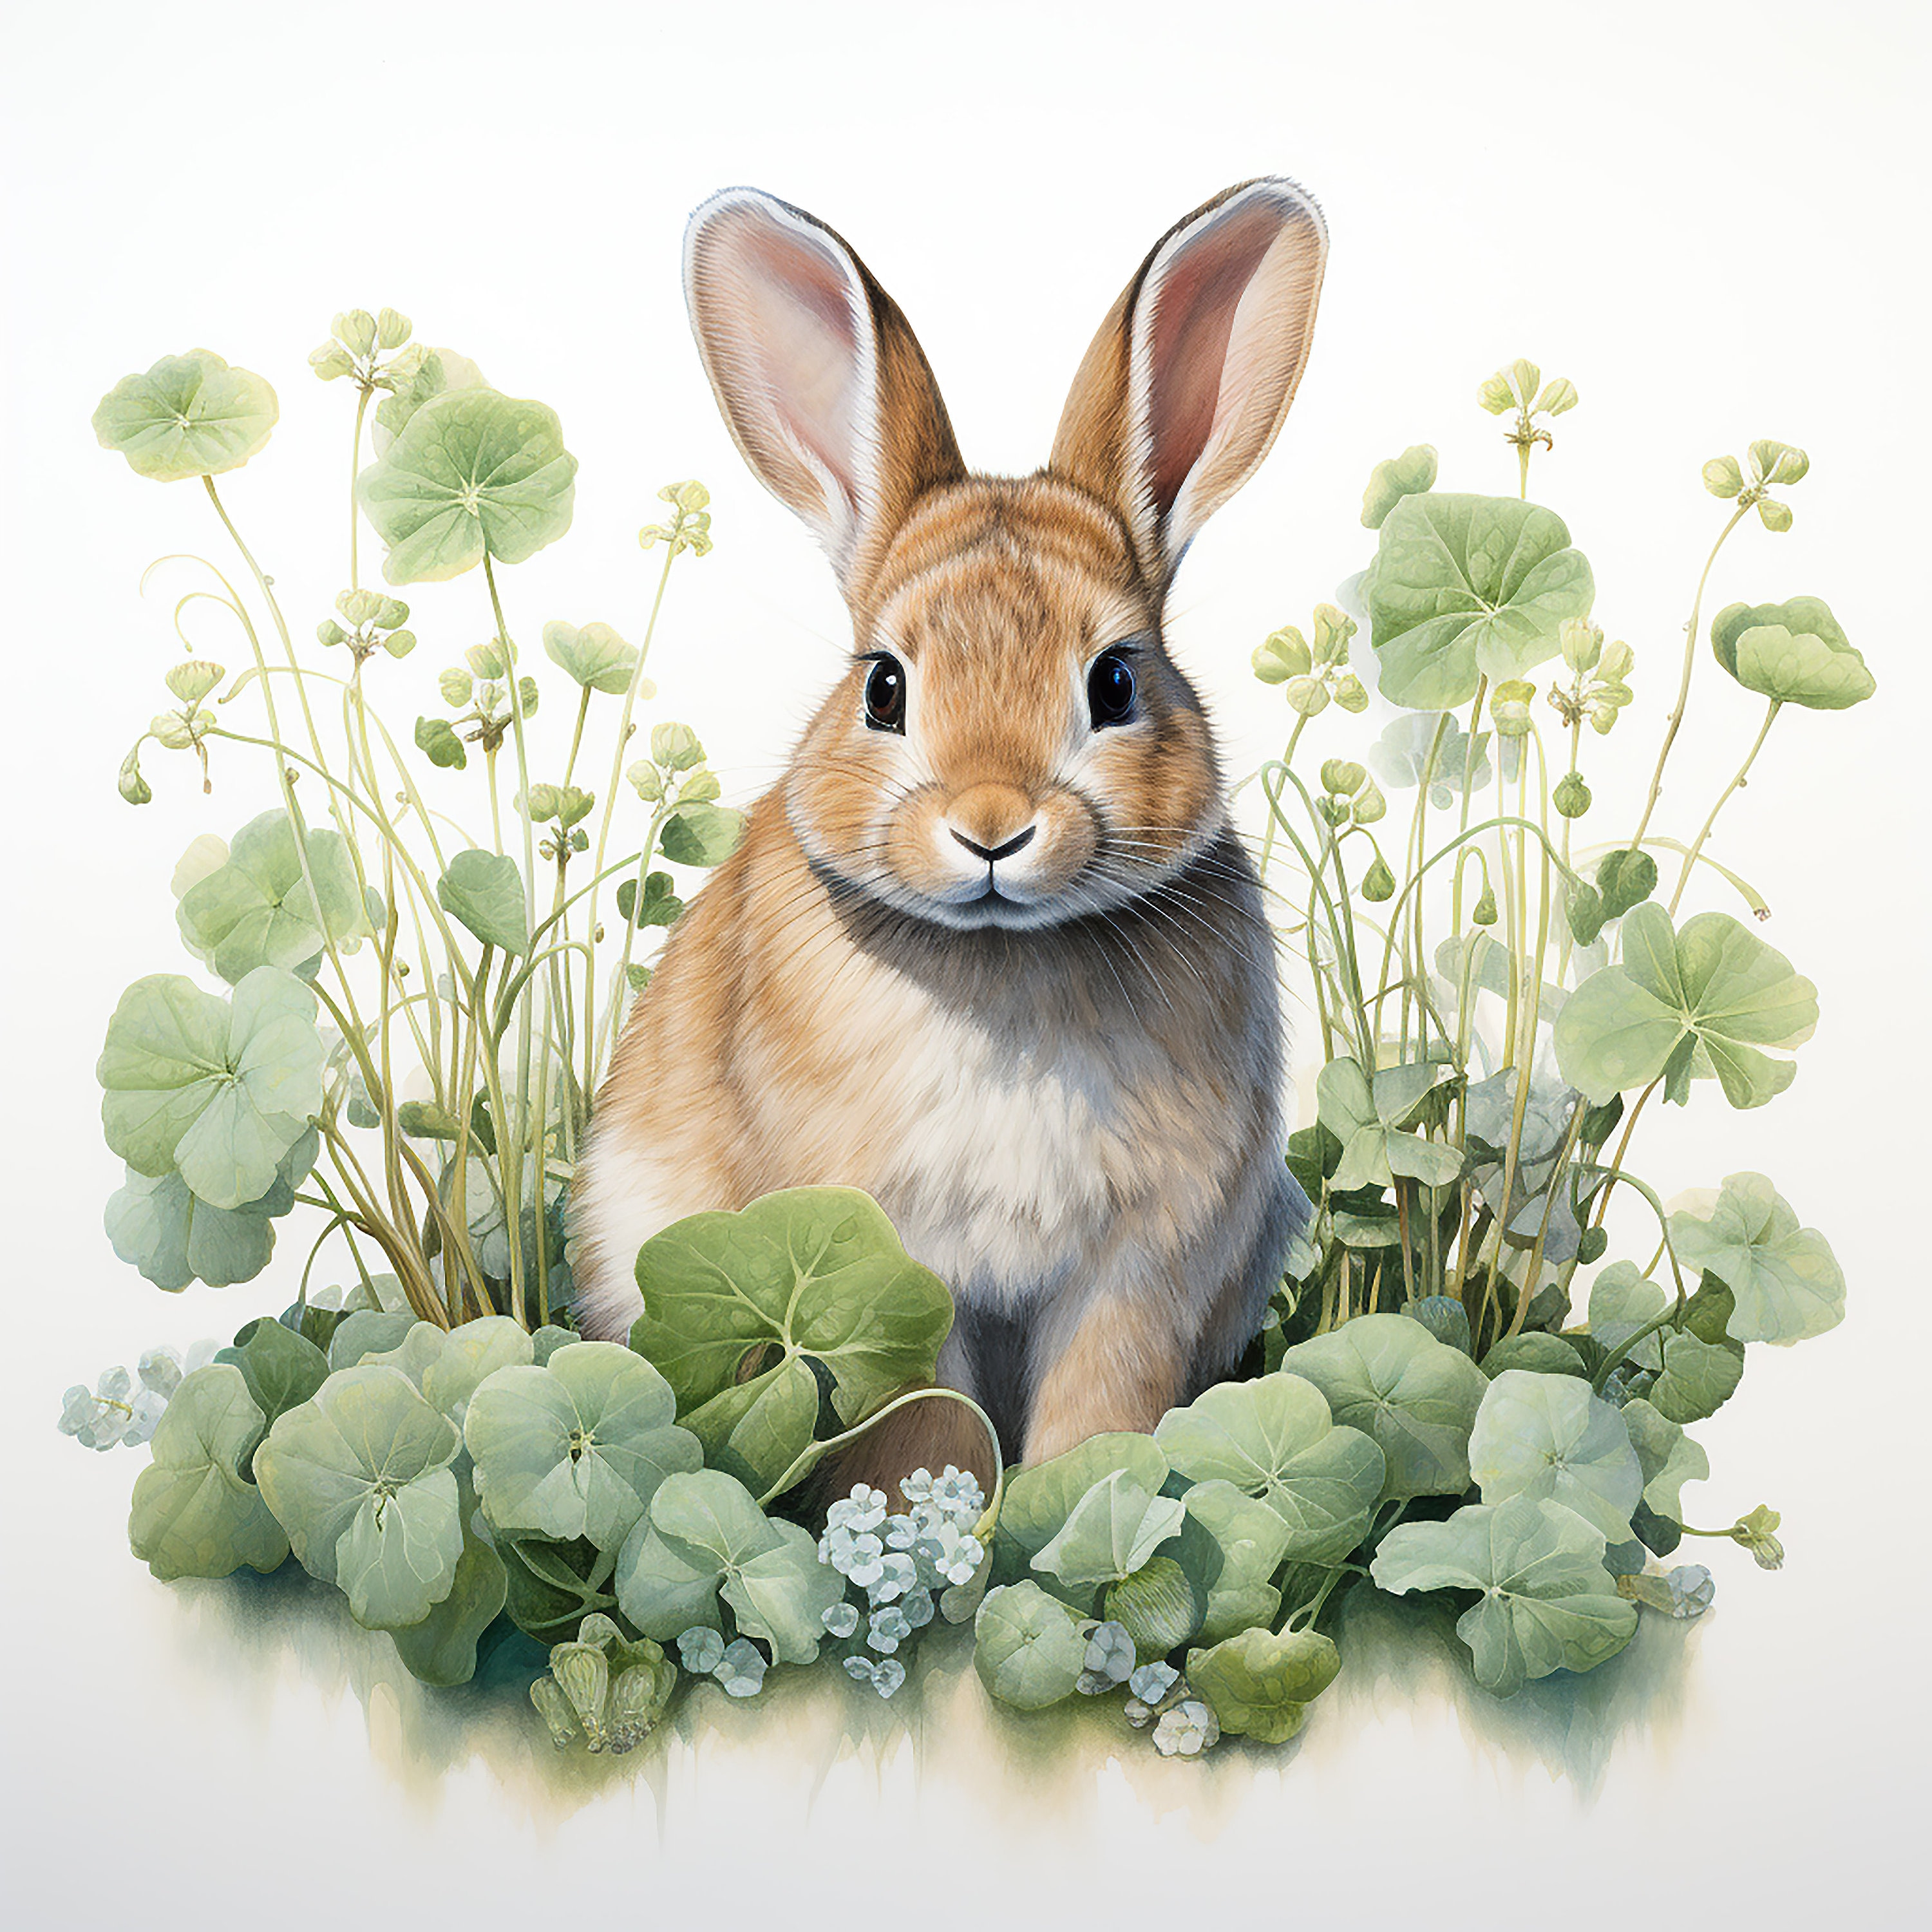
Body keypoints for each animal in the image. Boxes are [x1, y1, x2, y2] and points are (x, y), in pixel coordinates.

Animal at [570, 178, 1327, 1489]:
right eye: (884, 689)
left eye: (1115, 682)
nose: (991, 827)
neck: (1006, 959)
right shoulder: (889, 1264)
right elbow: (924, 1420)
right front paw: (934, 1520)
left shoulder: (1143, 1266)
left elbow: (1102, 1403)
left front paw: (1078, 1510)